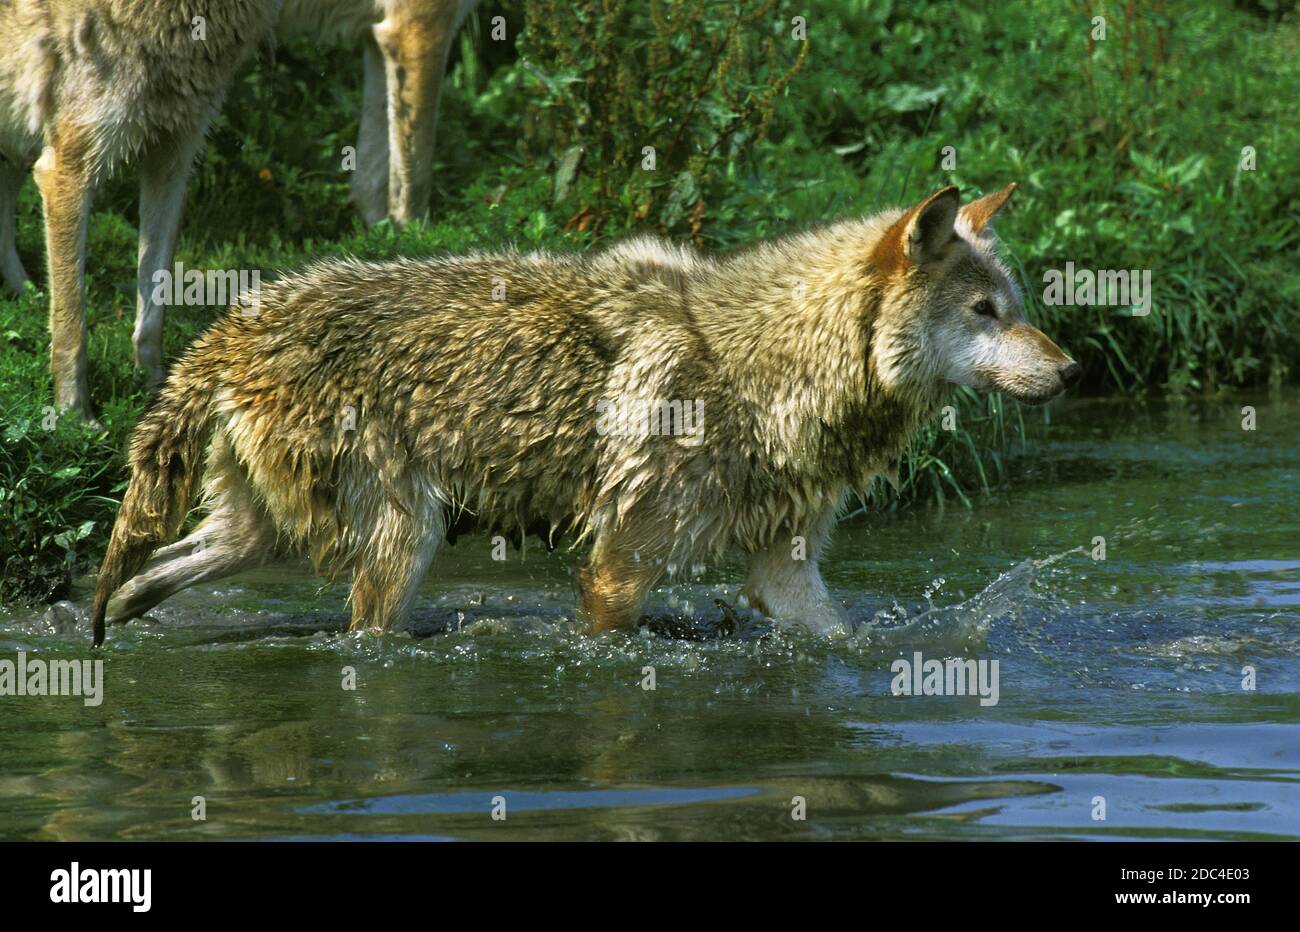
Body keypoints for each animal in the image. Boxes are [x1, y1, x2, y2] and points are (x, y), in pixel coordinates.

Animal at [0, 1, 474, 420]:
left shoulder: (173, 156)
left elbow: (153, 305)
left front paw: (155, 396)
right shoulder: (69, 169)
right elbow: (72, 324)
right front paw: (74, 417)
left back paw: (25, 293)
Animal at [90, 184, 1080, 646]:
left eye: (1016, 306)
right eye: (983, 313)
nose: (1073, 371)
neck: (764, 366)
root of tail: (227, 327)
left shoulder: (785, 569)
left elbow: (838, 639)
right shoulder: (620, 565)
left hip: (262, 530)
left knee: (152, 573)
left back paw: (114, 626)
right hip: (404, 535)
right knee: (362, 632)